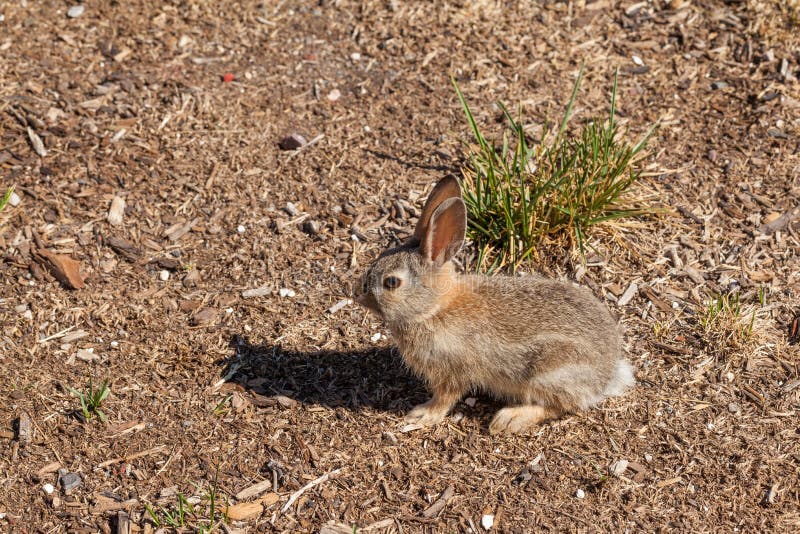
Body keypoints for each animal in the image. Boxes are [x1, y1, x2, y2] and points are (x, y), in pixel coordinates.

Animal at [354, 176, 634, 434]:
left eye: (391, 282)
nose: (359, 293)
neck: (433, 309)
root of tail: (608, 373)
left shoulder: (452, 371)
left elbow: (445, 398)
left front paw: (422, 415)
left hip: (548, 374)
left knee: (556, 406)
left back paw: (509, 419)